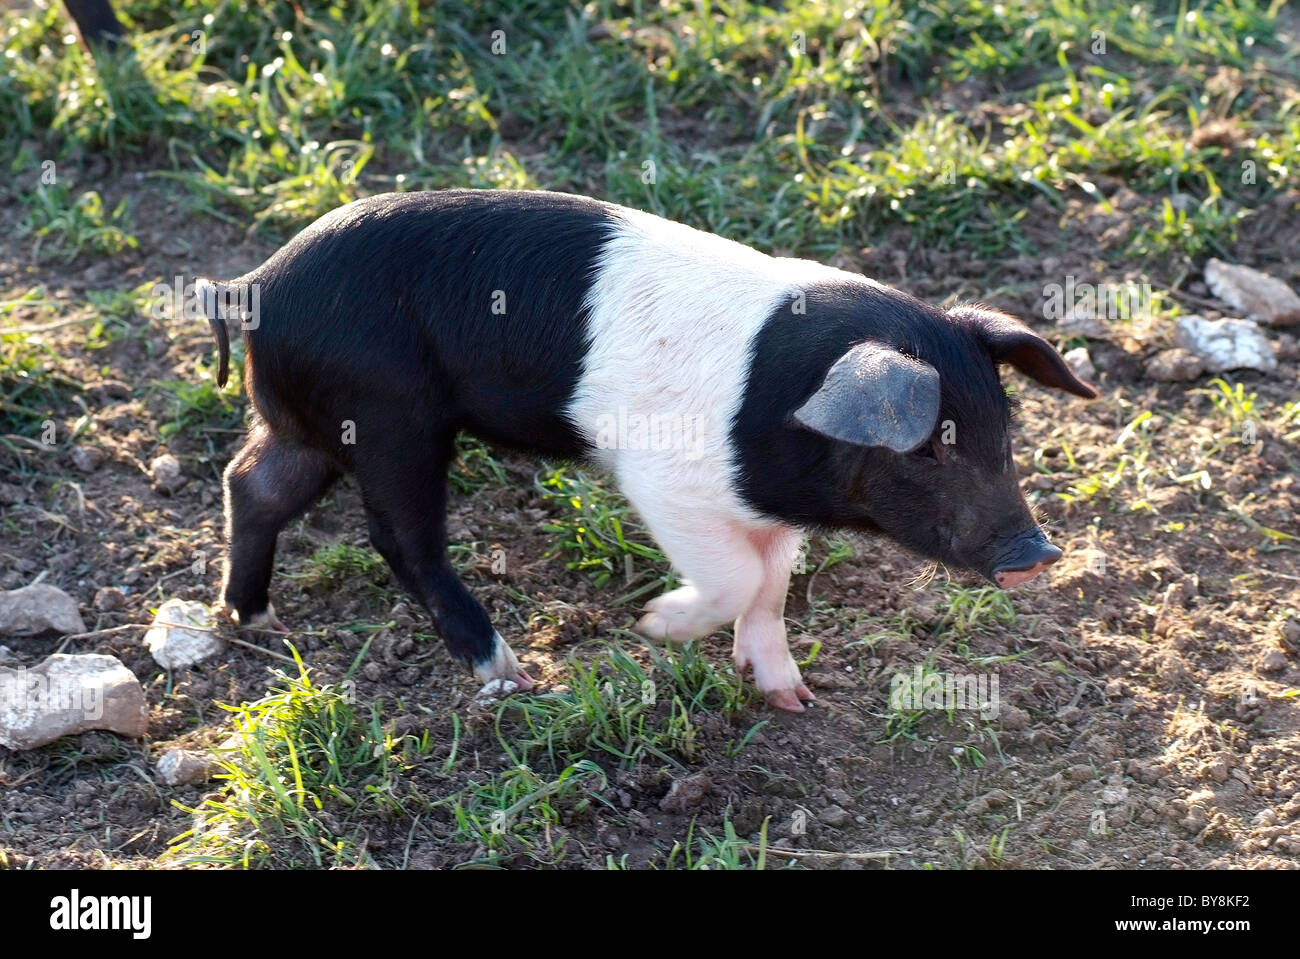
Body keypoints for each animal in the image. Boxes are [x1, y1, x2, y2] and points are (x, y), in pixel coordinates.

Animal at [199, 189, 1096, 711]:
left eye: (1004, 433)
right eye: (927, 451)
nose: (1038, 553)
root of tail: (255, 282)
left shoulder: (768, 509)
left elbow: (772, 586)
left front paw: (793, 698)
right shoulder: (666, 483)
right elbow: (737, 579)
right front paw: (654, 626)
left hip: (312, 419)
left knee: (251, 480)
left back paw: (254, 616)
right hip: (388, 414)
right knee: (400, 538)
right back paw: (509, 673)